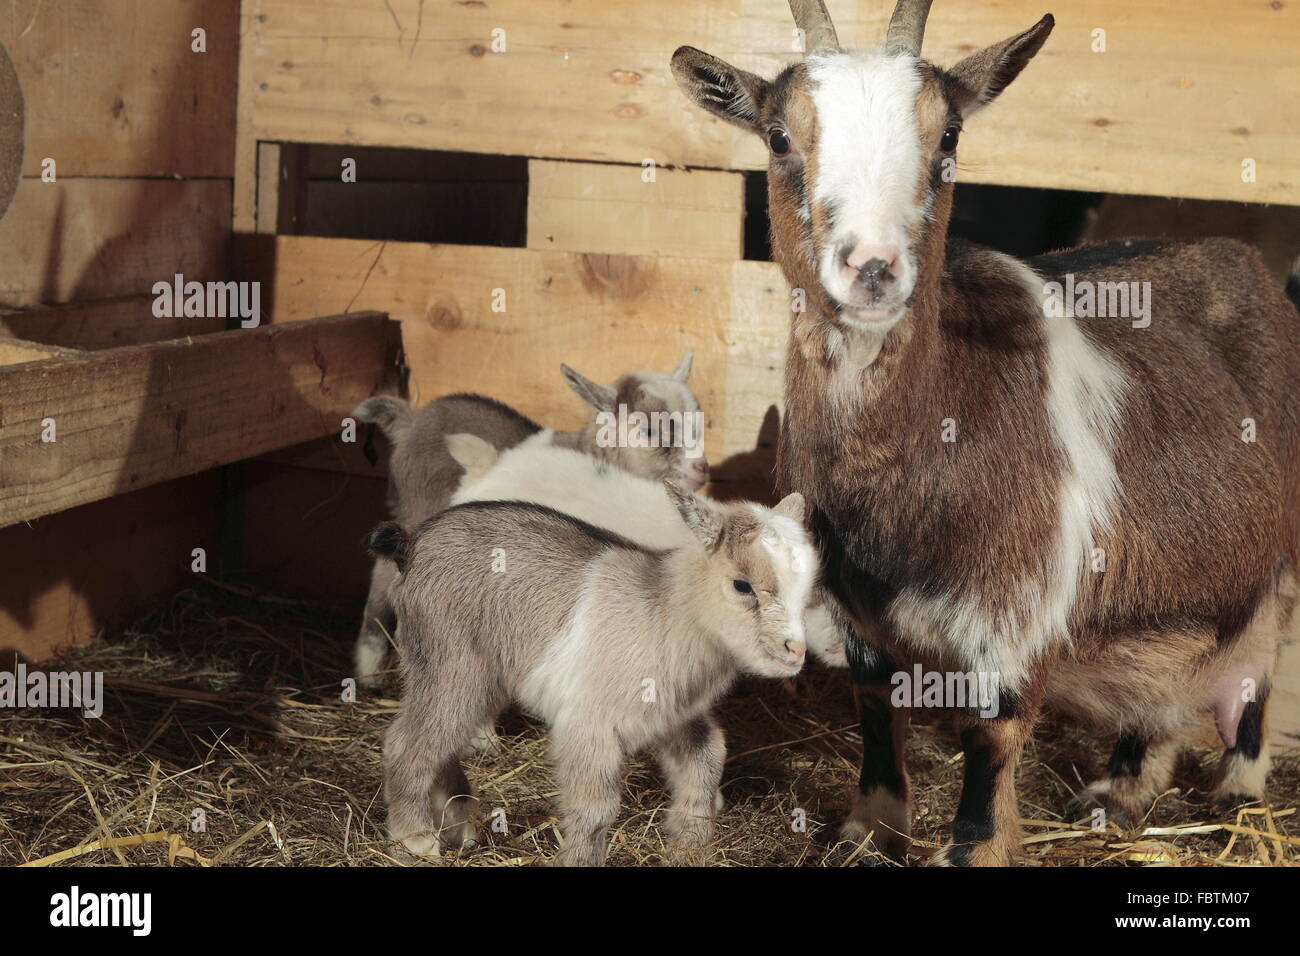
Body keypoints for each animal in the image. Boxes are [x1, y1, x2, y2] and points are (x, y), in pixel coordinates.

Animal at [350, 353, 707, 688]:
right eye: (649, 430)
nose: (701, 468)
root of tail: (412, 419)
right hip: (416, 506)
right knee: (384, 572)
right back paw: (369, 670)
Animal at [369, 485, 815, 865]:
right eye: (742, 585)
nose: (795, 651)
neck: (663, 608)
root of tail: (411, 545)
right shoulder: (588, 724)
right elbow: (596, 807)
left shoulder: (673, 716)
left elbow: (708, 756)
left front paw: (688, 847)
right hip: (452, 664)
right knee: (407, 741)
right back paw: (417, 840)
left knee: (440, 740)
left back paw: (458, 827)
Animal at [672, 0, 1300, 865]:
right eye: (776, 136)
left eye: (948, 136)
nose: (874, 268)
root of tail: (1241, 259)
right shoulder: (854, 605)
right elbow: (875, 704)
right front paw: (870, 827)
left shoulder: (1021, 607)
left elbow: (994, 732)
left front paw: (974, 846)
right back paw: (1120, 790)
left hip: (1280, 555)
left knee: (1261, 658)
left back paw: (1237, 788)